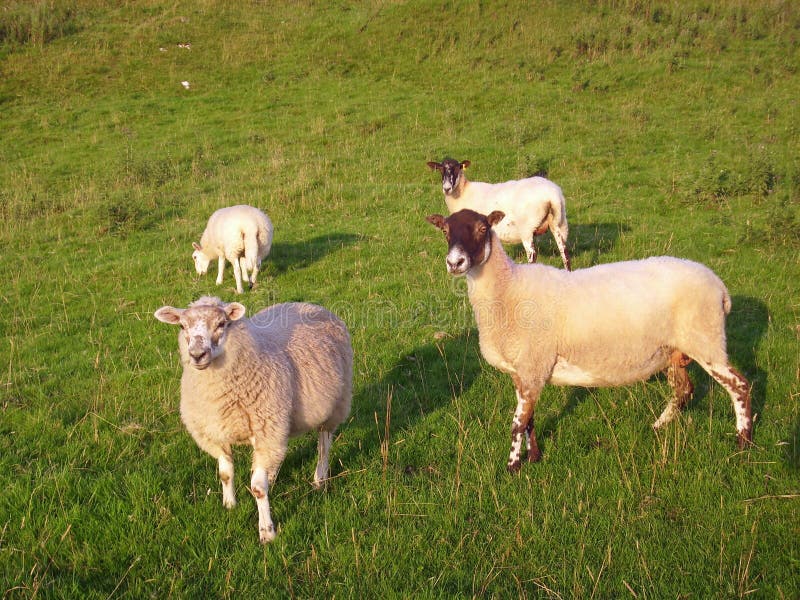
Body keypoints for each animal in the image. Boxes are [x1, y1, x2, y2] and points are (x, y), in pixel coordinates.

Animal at [154, 296, 353, 543]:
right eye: (182, 326)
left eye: (222, 323)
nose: (197, 355)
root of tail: (310, 305)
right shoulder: (217, 434)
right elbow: (225, 474)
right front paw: (230, 505)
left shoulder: (265, 430)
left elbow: (258, 488)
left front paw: (267, 532)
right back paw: (274, 476)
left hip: (336, 403)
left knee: (324, 444)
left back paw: (319, 479)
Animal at [426, 208, 752, 472]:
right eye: (445, 231)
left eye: (483, 228)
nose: (455, 262)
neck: (508, 289)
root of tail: (720, 287)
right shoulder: (525, 372)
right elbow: (529, 420)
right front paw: (534, 458)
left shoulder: (533, 365)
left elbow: (517, 423)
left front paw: (512, 468)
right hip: (673, 350)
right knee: (684, 389)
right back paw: (658, 426)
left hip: (707, 341)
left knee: (739, 386)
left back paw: (743, 442)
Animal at [427, 157, 571, 270]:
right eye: (440, 169)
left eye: (457, 168)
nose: (447, 188)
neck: (463, 192)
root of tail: (552, 195)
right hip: (558, 222)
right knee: (564, 250)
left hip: (527, 228)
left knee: (532, 254)